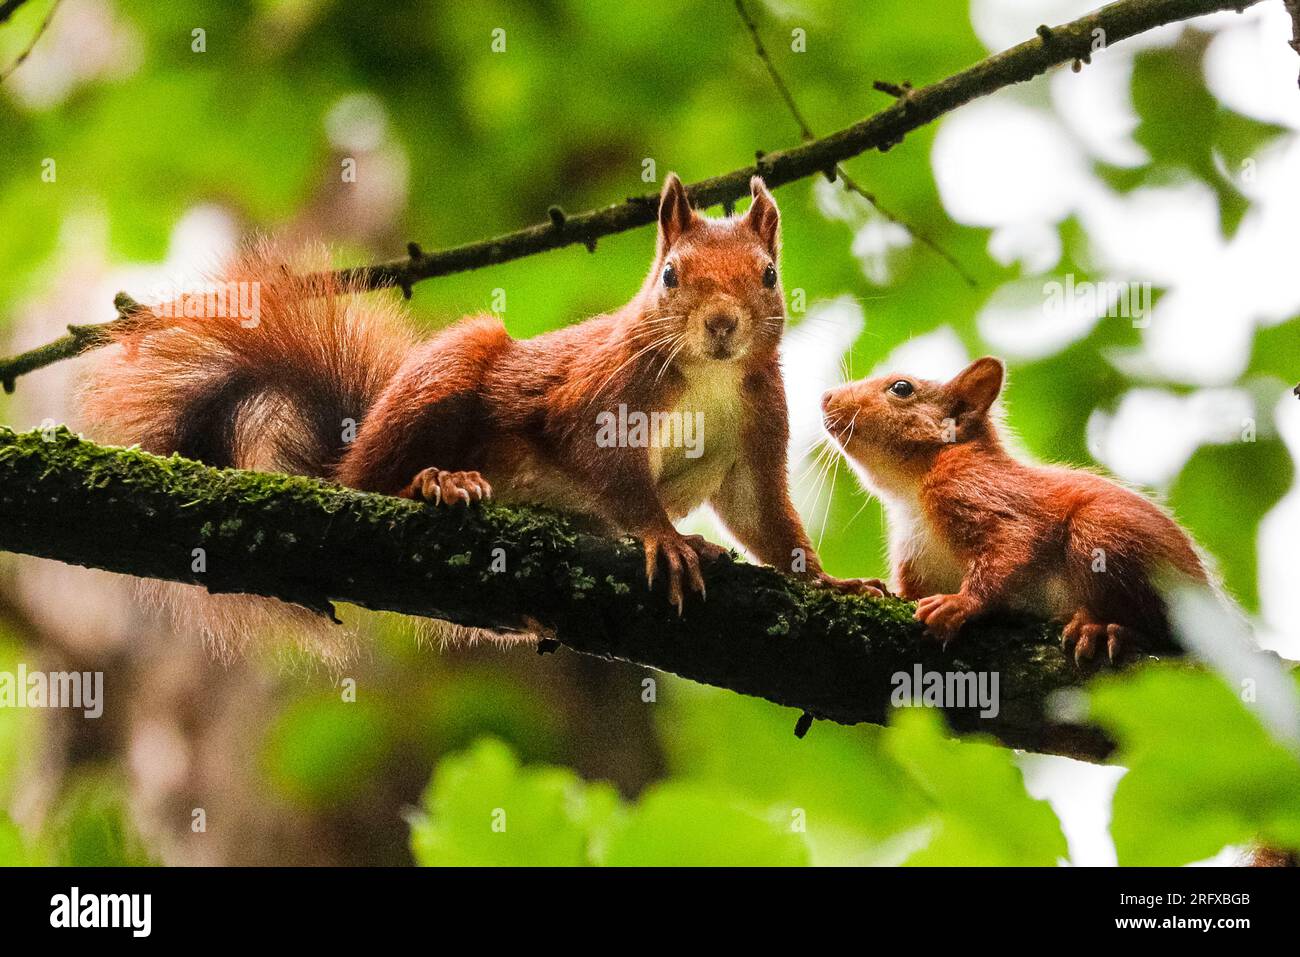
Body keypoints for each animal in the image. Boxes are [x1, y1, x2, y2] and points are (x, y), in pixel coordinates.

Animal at [82, 174, 883, 619]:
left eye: (769, 275)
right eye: (670, 276)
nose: (722, 325)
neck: (710, 373)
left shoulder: (758, 429)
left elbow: (766, 520)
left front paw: (835, 582)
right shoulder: (600, 396)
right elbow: (612, 472)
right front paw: (663, 537)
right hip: (442, 382)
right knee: (372, 482)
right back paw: (436, 481)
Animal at [821, 357, 1211, 664]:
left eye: (902, 388)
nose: (826, 397)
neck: (911, 489)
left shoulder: (977, 490)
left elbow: (1012, 545)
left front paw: (962, 603)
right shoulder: (918, 561)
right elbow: (908, 593)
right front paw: (869, 588)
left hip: (1103, 531)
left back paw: (1103, 628)